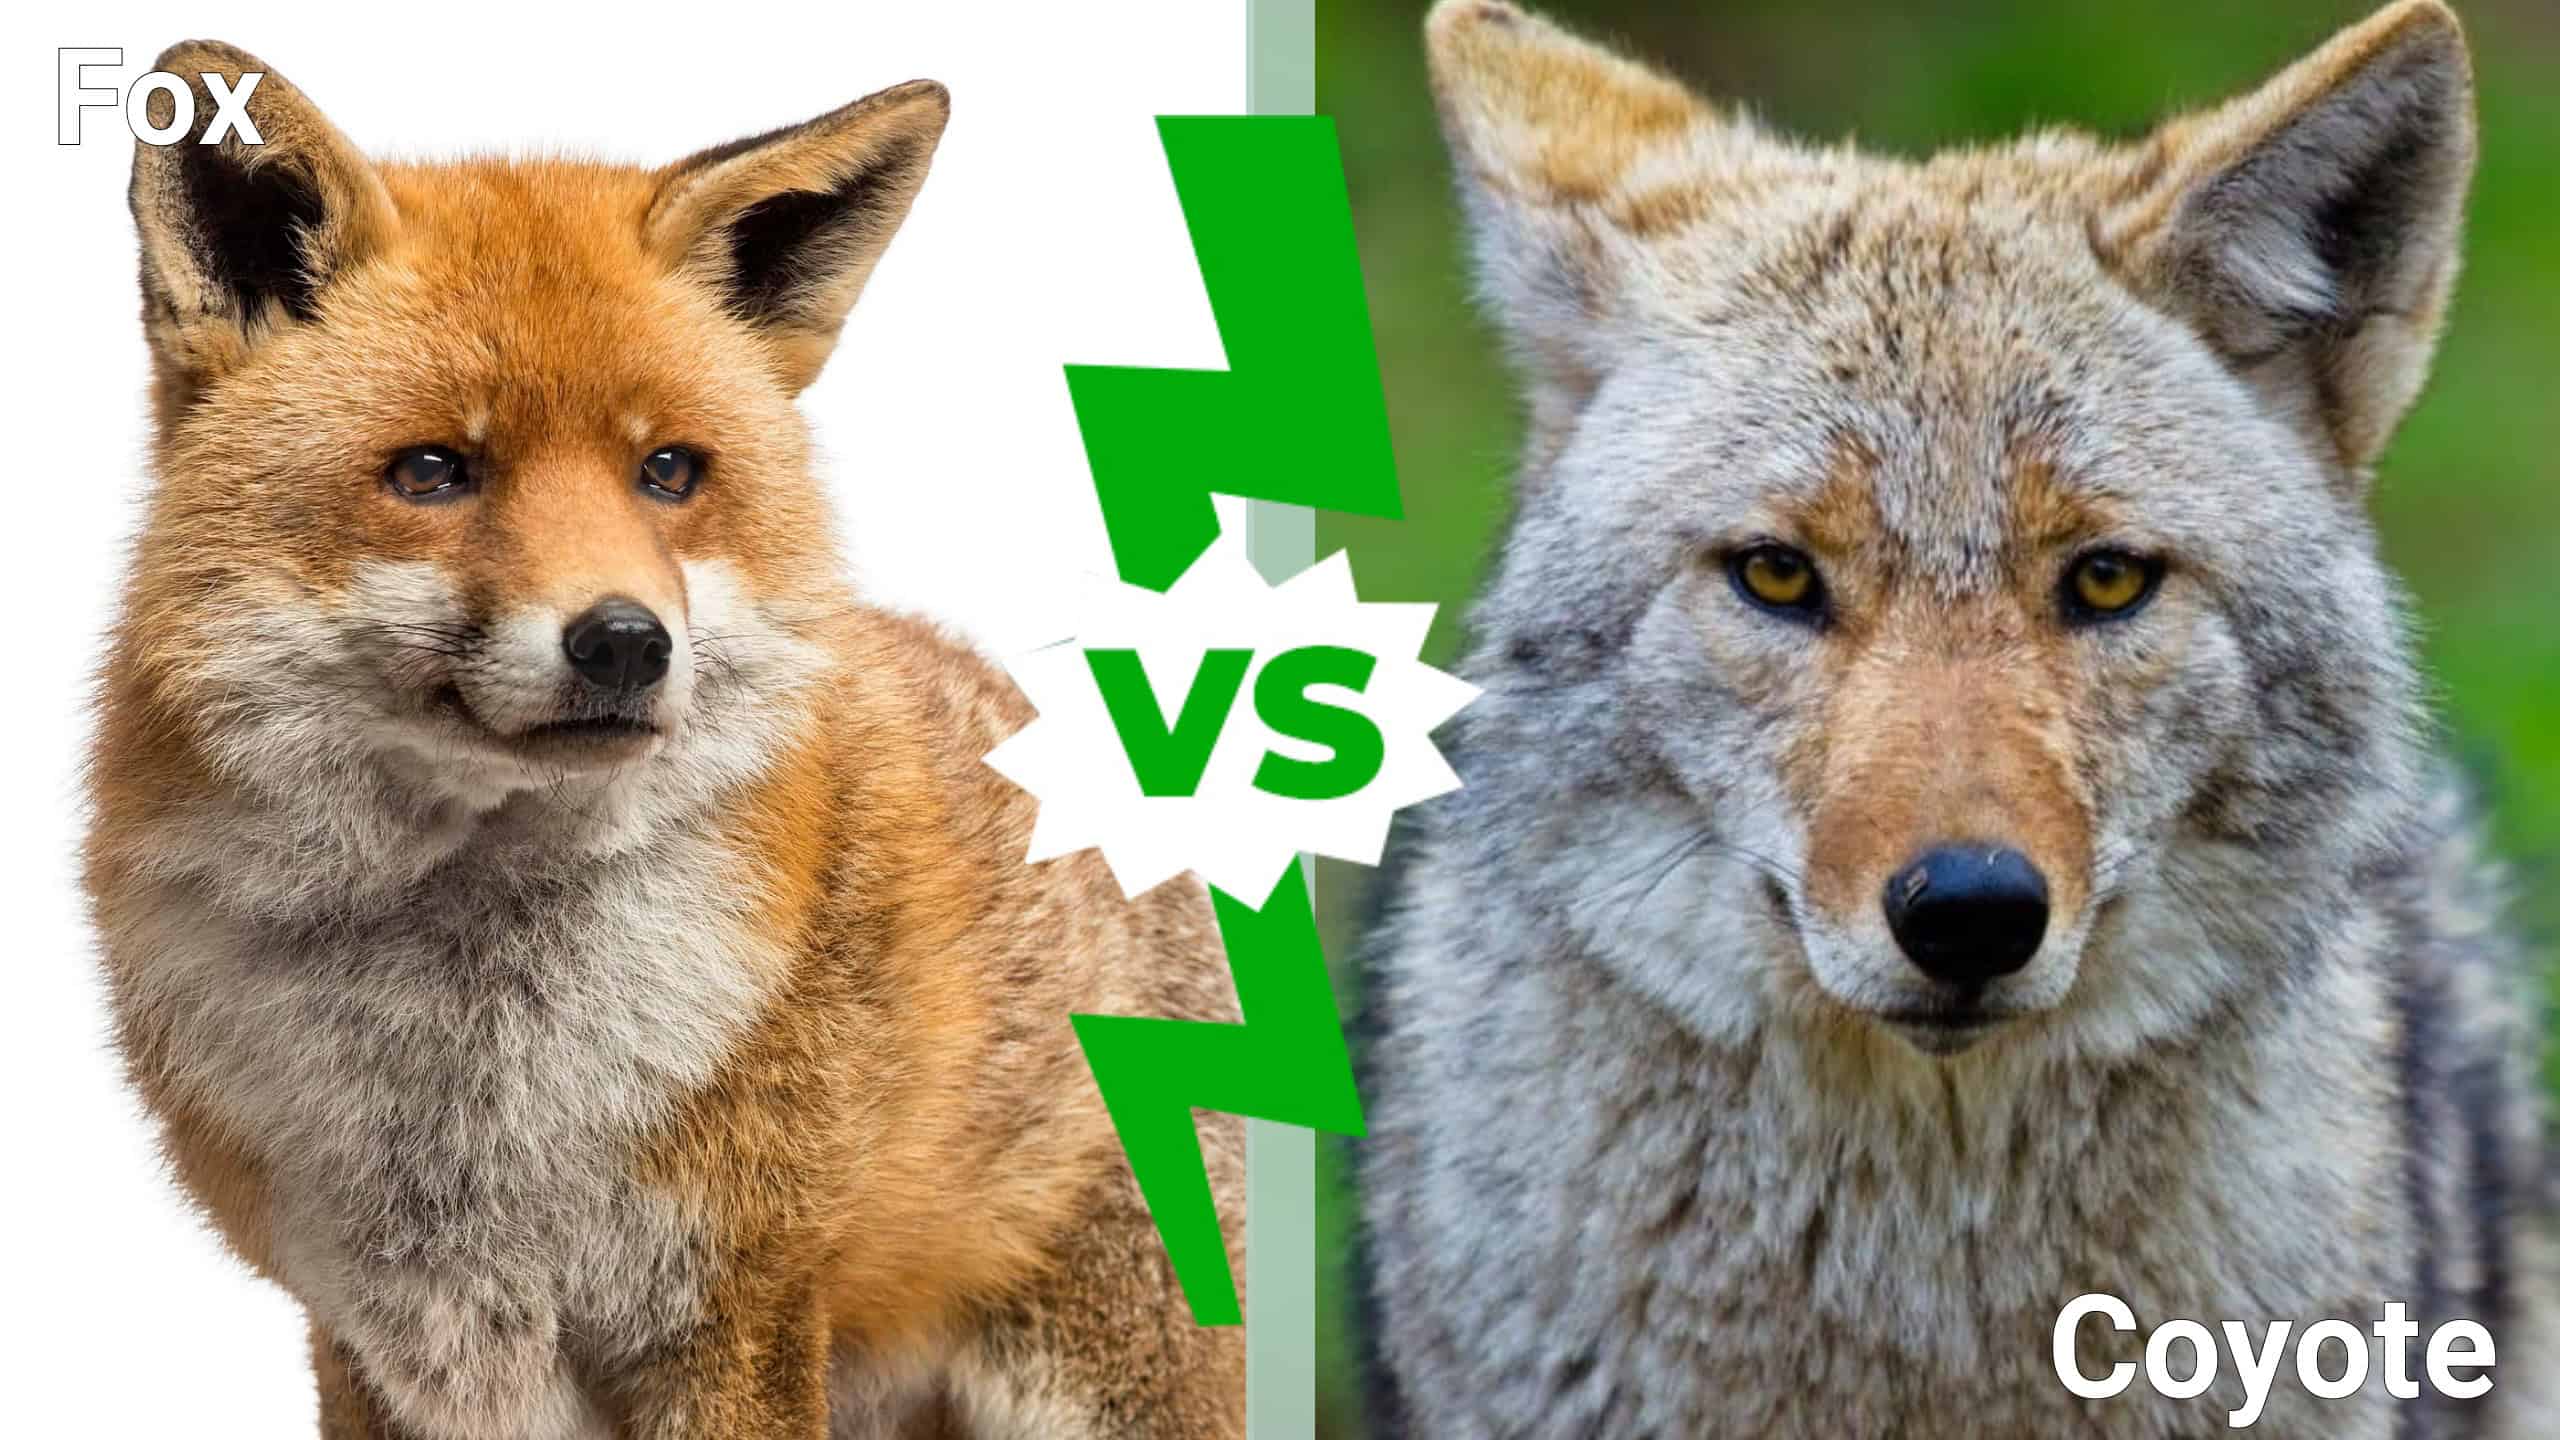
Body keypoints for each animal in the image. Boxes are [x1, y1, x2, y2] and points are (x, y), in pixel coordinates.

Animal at [81, 42, 1242, 1440]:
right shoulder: (387, 1334)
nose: (626, 643)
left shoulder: (731, 1304)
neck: (470, 1069)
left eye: (670, 471)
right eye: (433, 471)